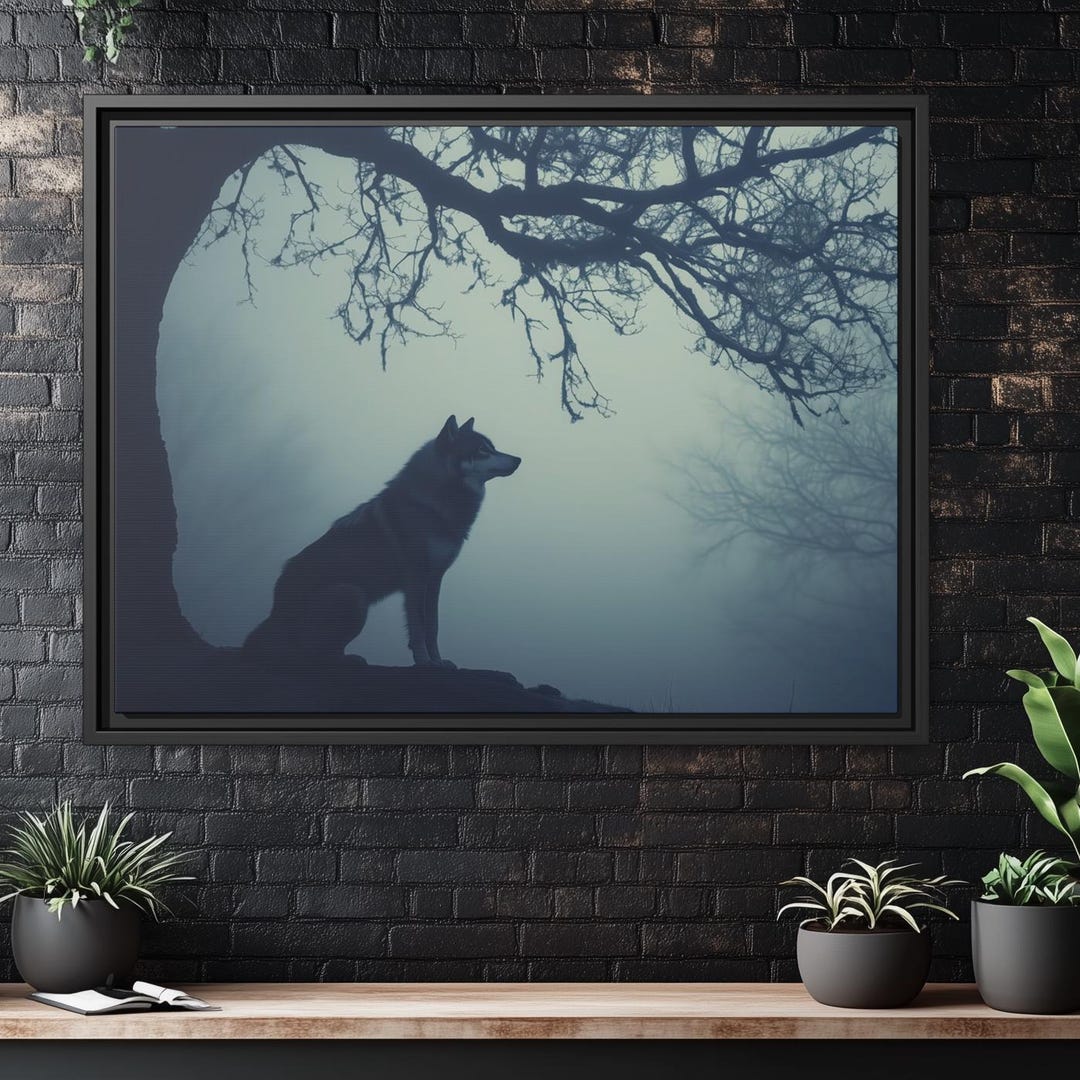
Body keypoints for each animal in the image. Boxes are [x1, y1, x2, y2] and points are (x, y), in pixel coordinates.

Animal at [243, 415, 521, 668]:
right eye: (482, 450)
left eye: (493, 447)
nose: (519, 459)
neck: (431, 504)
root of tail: (274, 612)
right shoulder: (416, 578)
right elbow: (418, 626)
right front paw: (424, 662)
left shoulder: (435, 578)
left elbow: (433, 626)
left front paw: (439, 661)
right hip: (352, 594)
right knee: (310, 654)